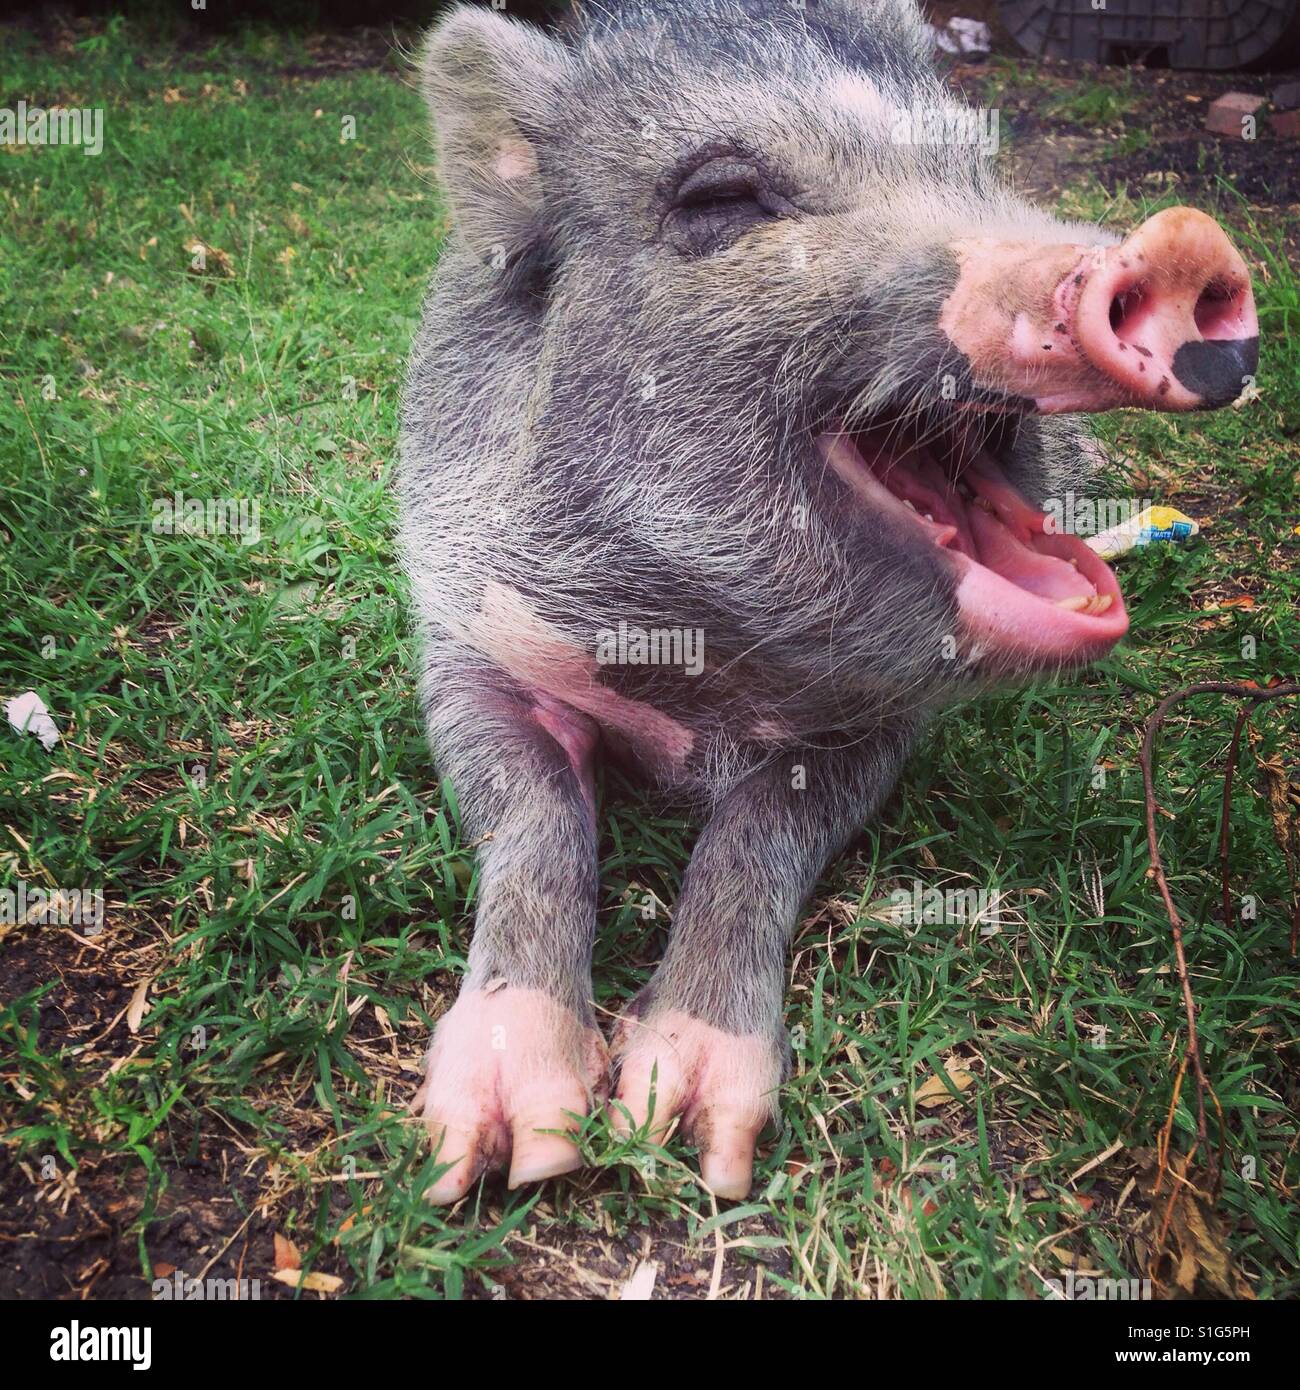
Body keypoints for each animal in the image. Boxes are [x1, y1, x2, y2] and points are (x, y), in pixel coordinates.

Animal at [398, 0, 1258, 1202]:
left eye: (975, 169)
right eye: (719, 197)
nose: (1183, 242)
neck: (692, 663)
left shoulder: (881, 724)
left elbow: (758, 831)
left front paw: (691, 1144)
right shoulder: (468, 635)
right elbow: (534, 814)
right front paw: (509, 1162)